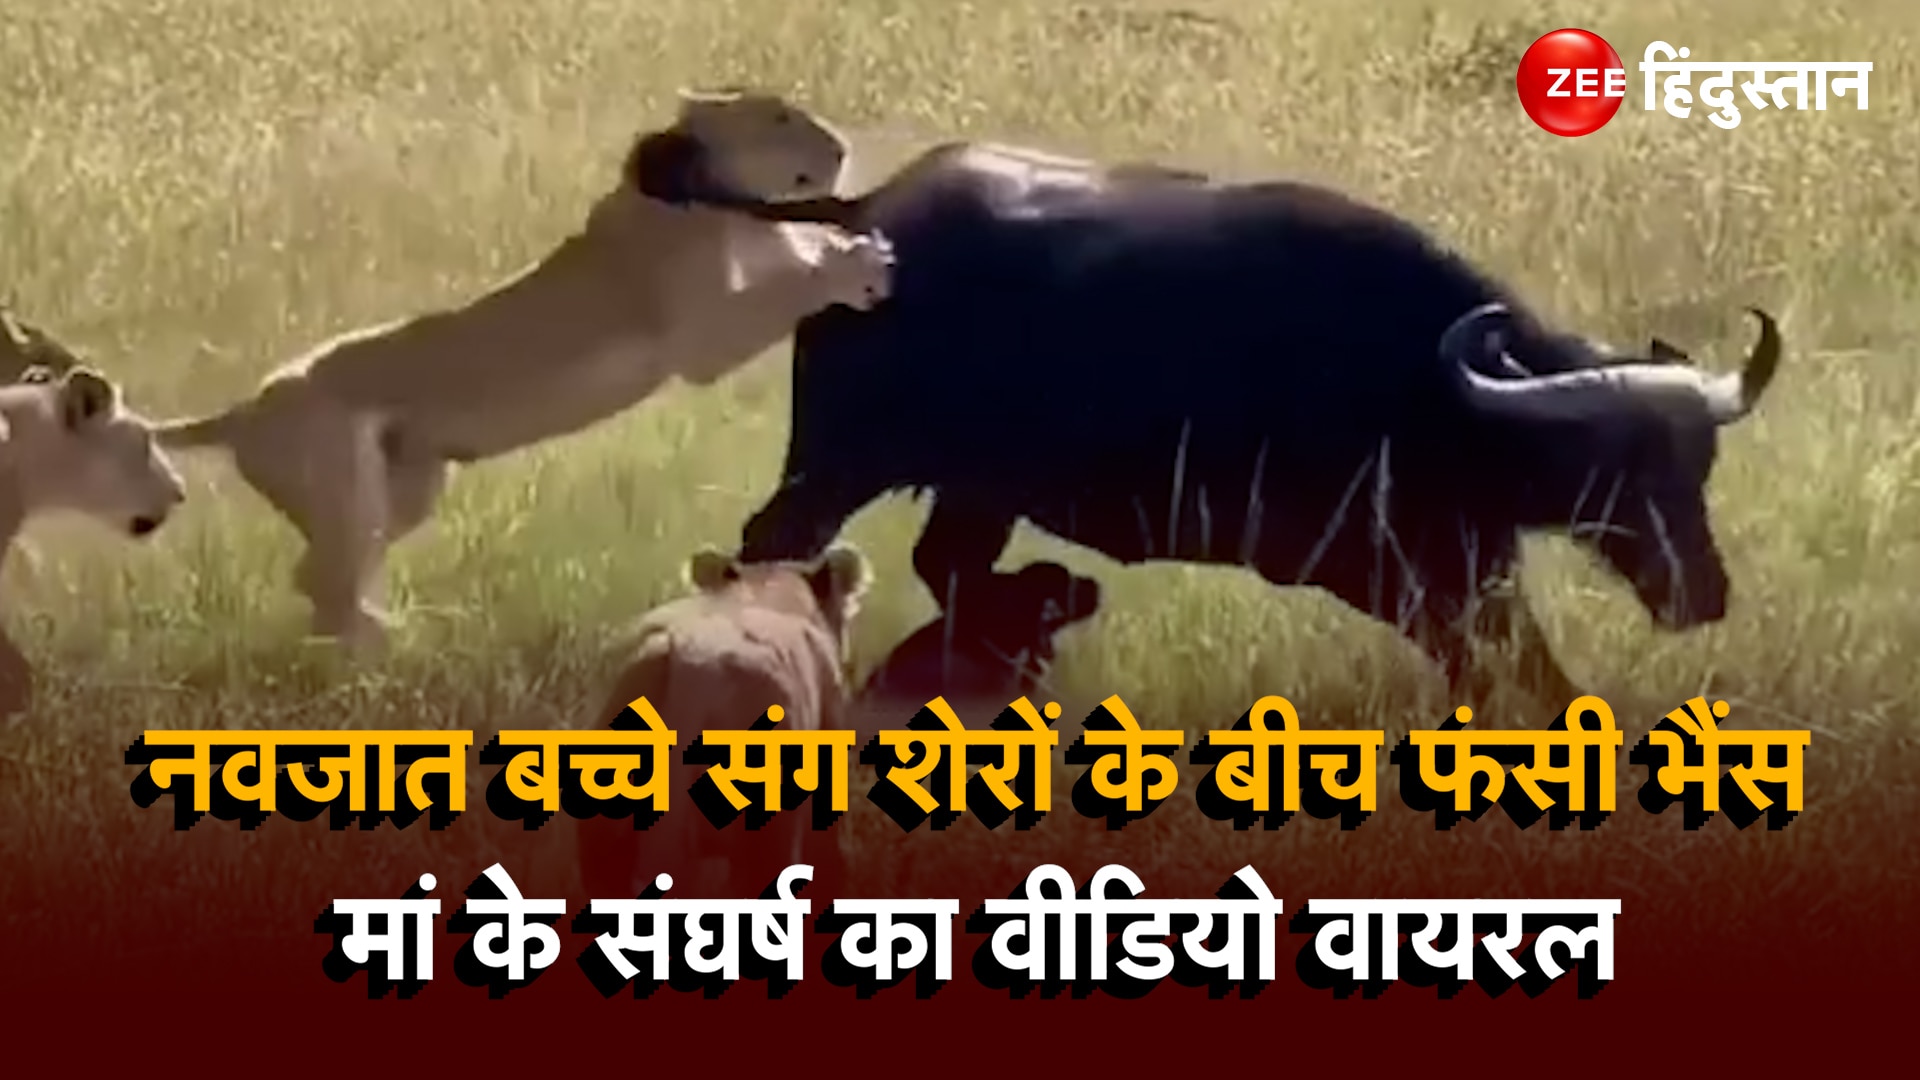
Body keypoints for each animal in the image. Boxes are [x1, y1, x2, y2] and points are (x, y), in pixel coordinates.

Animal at [153, 89, 896, 653]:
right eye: (777, 117)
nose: (838, 147)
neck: (715, 204)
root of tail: (242, 410)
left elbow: (798, 254)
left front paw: (848, 246)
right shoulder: (703, 343)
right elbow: (783, 293)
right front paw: (859, 263)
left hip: (410, 485)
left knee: (323, 577)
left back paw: (384, 642)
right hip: (343, 485)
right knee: (322, 580)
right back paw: (379, 651)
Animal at [731, 142, 1783, 707]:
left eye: (1700, 466)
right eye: (1616, 466)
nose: (1703, 594)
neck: (1431, 390)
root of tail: (863, 212)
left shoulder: (1474, 567)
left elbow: (1538, 674)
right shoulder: (1389, 572)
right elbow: (1486, 675)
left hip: (976, 488)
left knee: (947, 566)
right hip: (833, 465)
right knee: (773, 545)